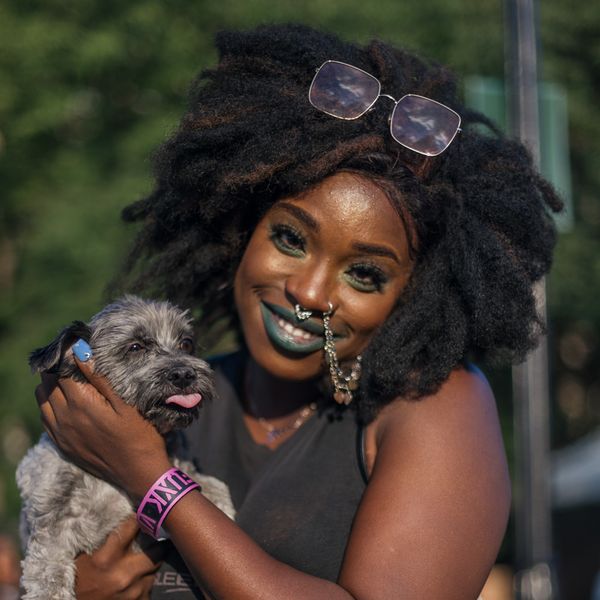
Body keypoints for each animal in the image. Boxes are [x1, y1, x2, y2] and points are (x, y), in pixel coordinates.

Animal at [15, 296, 236, 600]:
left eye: (186, 343)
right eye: (135, 347)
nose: (184, 373)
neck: (107, 483)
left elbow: (204, 480)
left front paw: (222, 506)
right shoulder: (51, 523)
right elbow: (48, 576)